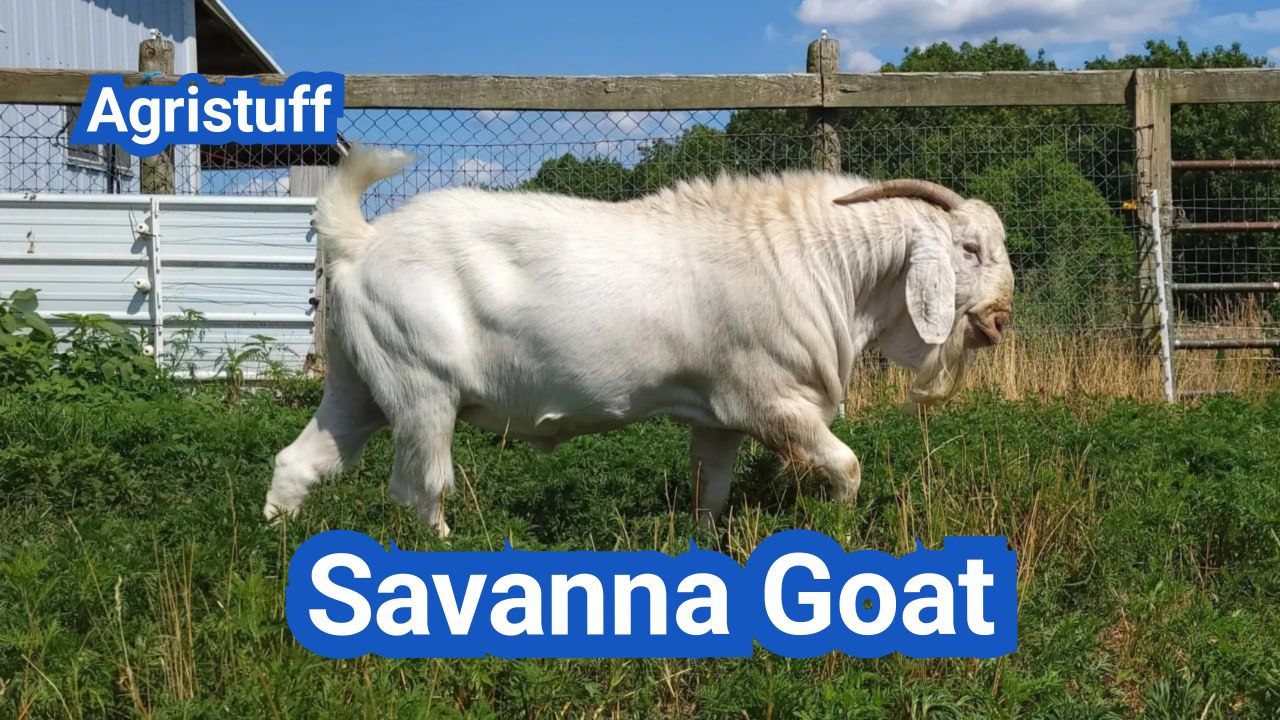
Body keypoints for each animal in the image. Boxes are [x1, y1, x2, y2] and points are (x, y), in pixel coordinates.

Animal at [266, 146, 1014, 536]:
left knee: (298, 462)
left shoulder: (720, 416)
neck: (814, 258)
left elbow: (711, 492)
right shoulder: (773, 403)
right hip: (423, 391)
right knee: (417, 487)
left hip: (359, 386)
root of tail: (362, 241)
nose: (1002, 319)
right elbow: (847, 466)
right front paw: (836, 530)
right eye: (970, 248)